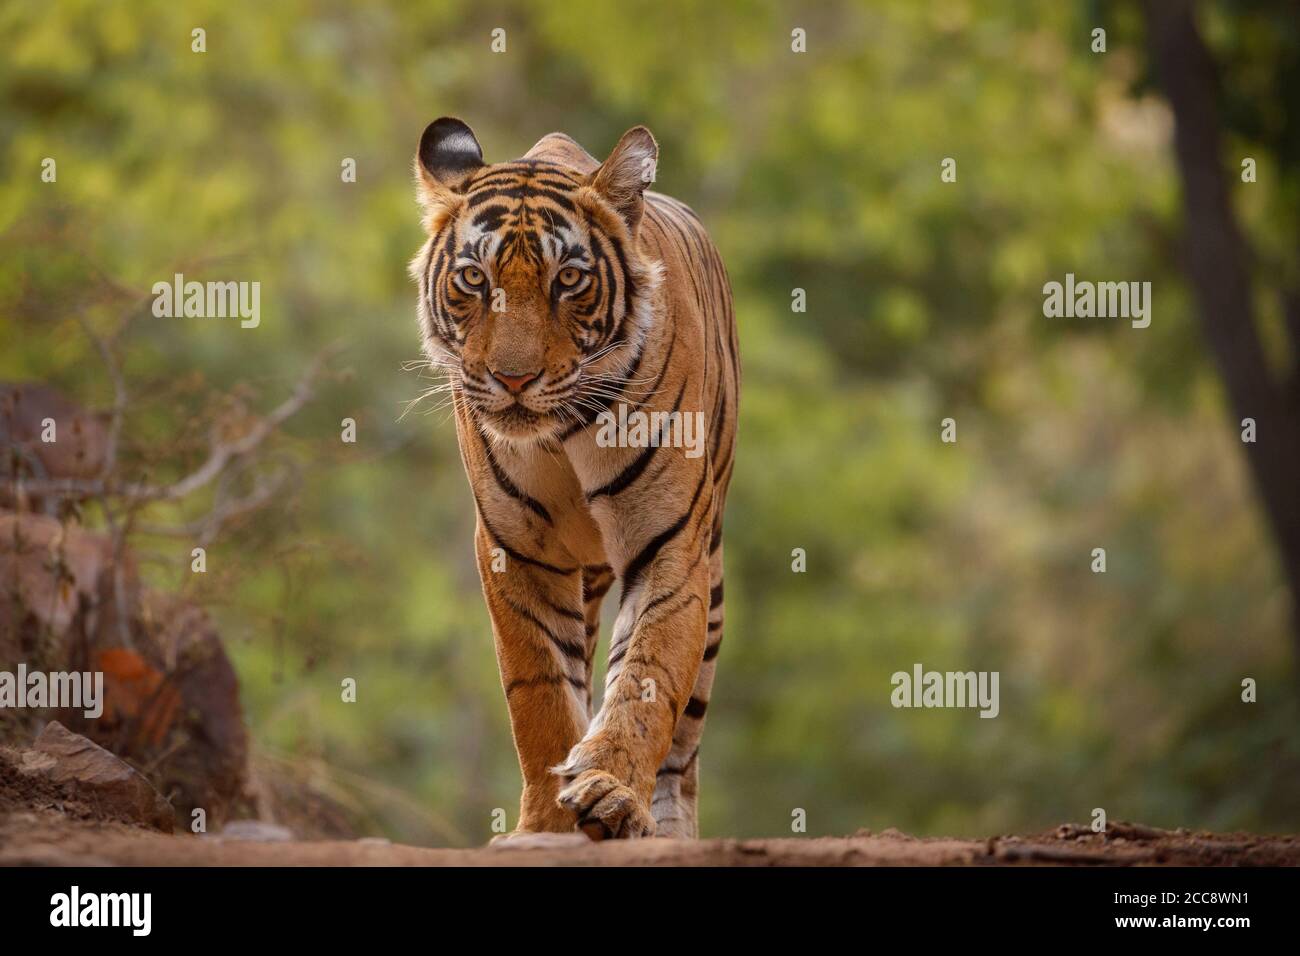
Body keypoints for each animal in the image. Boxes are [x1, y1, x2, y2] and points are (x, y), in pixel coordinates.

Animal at [409, 117, 739, 840]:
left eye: (568, 280)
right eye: (474, 278)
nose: (513, 379)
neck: (563, 434)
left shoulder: (670, 542)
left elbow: (647, 674)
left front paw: (611, 793)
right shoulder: (516, 549)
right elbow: (539, 692)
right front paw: (545, 824)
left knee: (684, 748)